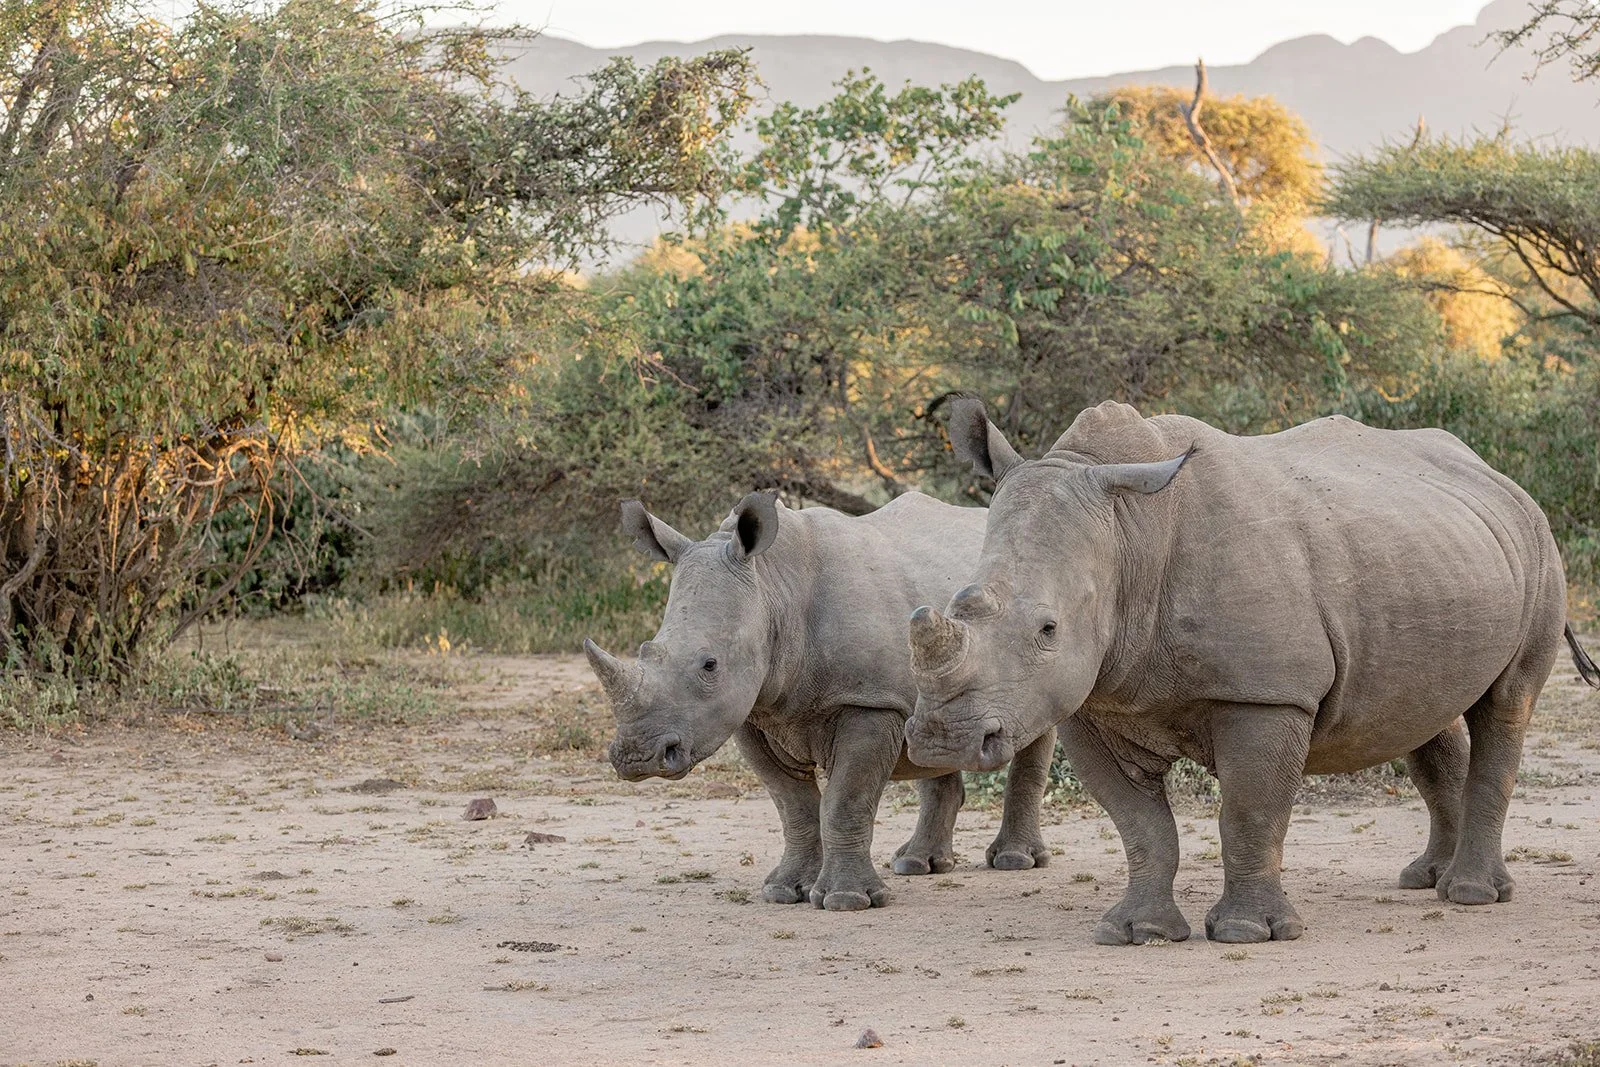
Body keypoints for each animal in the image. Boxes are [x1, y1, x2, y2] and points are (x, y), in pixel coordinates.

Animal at [583, 490, 1056, 911]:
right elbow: (794, 805)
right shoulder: (755, 712)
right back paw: (915, 864)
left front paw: (847, 900)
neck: (773, 588)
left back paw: (1014, 861)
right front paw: (784, 891)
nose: (638, 758)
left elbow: (846, 800)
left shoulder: (868, 701)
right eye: (646, 650)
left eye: (710, 665)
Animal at [904, 399, 1600, 944]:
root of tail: (1500, 479)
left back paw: (1472, 895)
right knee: (1421, 714)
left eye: (1048, 630)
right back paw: (1425, 880)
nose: (942, 740)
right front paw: (1136, 931)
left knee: (1507, 703)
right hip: (1436, 558)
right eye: (959, 604)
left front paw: (1248, 932)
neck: (1130, 534)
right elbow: (1140, 825)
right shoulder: (1093, 703)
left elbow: (1248, 810)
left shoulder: (1267, 695)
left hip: (1539, 549)